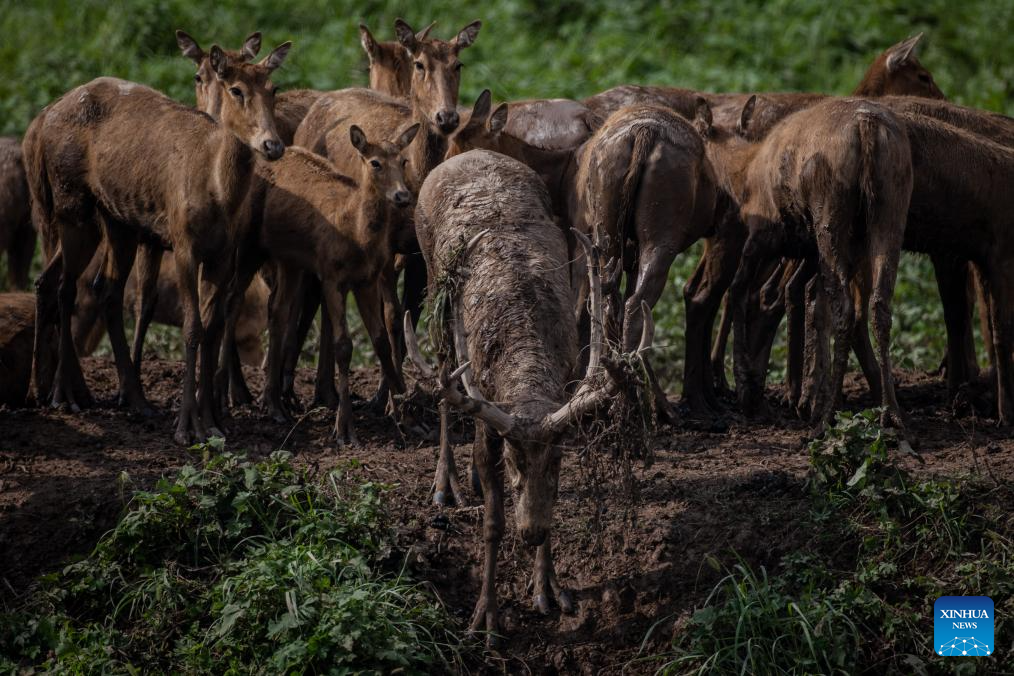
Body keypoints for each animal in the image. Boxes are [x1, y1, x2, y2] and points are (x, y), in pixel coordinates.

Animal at [24, 38, 290, 444]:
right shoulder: (182, 246)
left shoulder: (221, 255)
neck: (220, 193)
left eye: (273, 89)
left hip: (116, 223)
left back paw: (129, 398)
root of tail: (43, 117)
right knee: (65, 287)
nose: (273, 145)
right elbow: (192, 327)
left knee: (95, 287)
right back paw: (64, 395)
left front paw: (214, 421)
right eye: (236, 90)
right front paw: (187, 426)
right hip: (72, 209)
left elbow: (212, 326)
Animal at [404, 148, 654, 645]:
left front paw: (548, 590)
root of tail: (467, 152)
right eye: (514, 459)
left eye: (557, 460)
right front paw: (487, 616)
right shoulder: (488, 419)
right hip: (433, 289)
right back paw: (446, 483)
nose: (532, 532)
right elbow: (492, 522)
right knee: (442, 386)